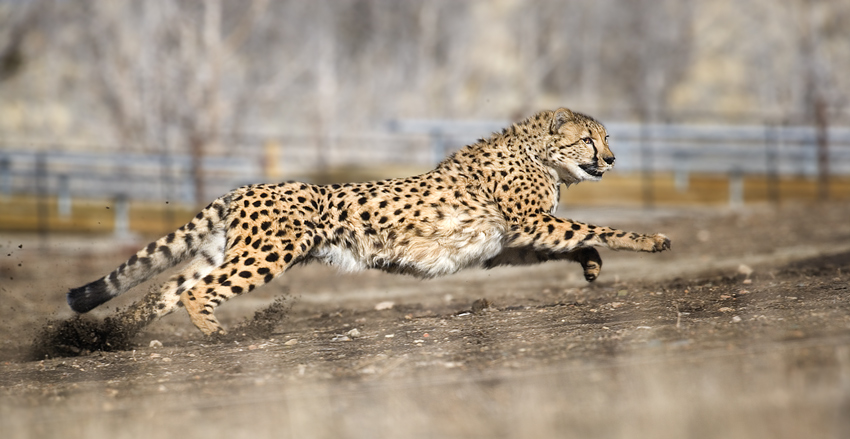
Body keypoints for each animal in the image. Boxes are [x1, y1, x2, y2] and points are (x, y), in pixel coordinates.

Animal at [67, 108, 671, 337]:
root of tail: (242, 187)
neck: (541, 155)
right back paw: (212, 331)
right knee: (197, 289)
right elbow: (598, 227)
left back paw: (111, 335)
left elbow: (577, 240)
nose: (612, 159)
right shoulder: (529, 224)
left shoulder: (505, 241)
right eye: (590, 139)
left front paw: (591, 266)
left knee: (169, 284)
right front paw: (651, 239)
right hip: (270, 252)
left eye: (606, 138)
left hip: (229, 250)